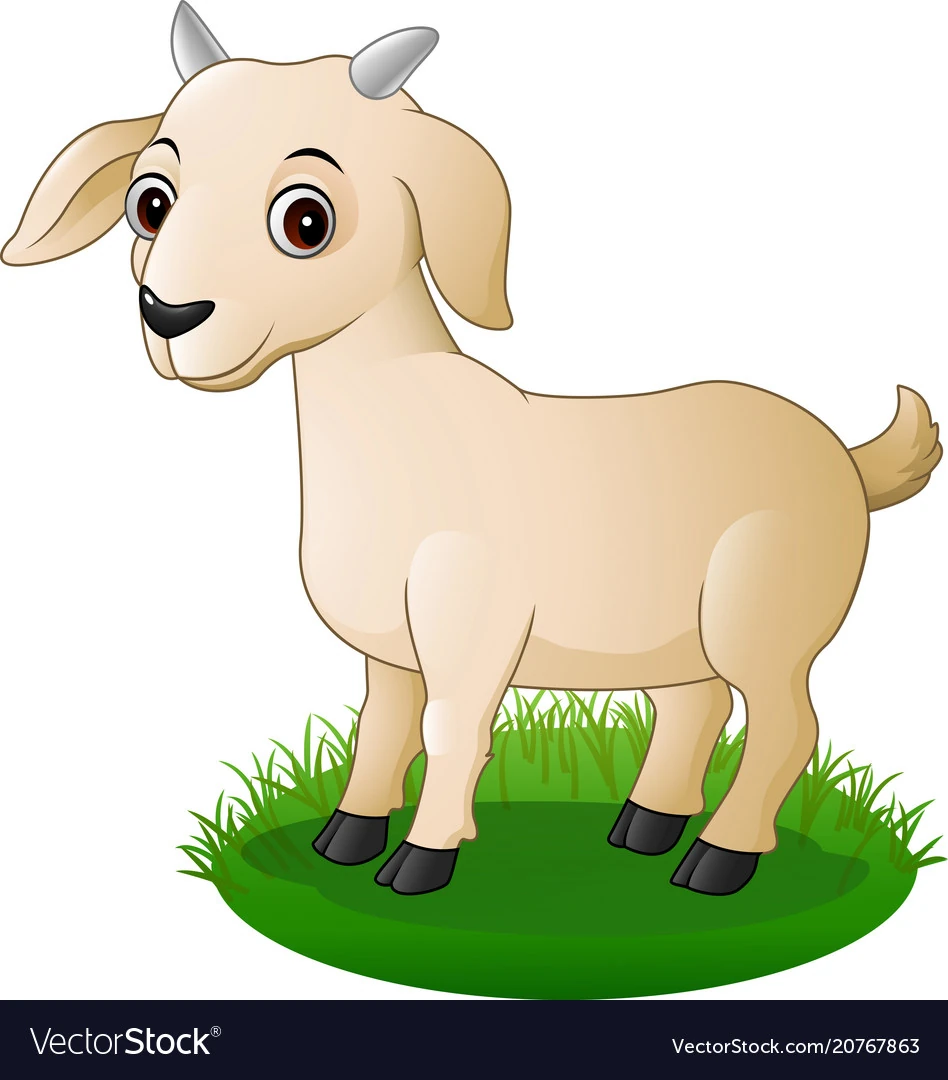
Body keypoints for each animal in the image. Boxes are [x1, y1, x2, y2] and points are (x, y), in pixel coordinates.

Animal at [3, 3, 942, 896]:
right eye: (150, 202)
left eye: (306, 220)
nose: (169, 317)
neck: (394, 424)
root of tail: (847, 459)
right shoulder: (389, 646)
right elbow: (380, 730)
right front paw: (345, 840)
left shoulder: (471, 623)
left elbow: (452, 731)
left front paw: (420, 862)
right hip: (684, 631)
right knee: (696, 708)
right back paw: (646, 827)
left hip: (769, 619)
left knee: (786, 726)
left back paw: (717, 860)